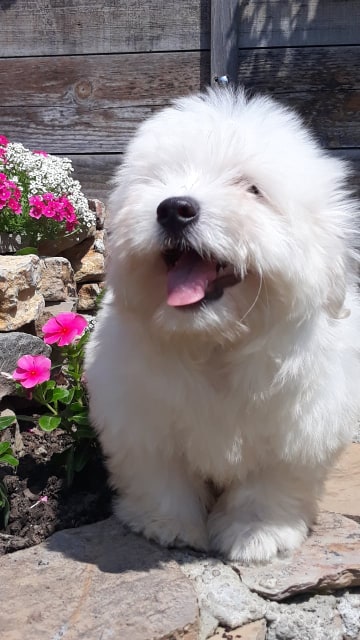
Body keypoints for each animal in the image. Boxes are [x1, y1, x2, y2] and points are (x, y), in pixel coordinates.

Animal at [85, 87, 360, 564]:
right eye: (159, 181)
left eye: (252, 189)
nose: (173, 209)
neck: (214, 340)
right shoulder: (140, 418)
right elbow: (160, 472)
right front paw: (168, 524)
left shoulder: (297, 429)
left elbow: (270, 484)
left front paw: (257, 533)